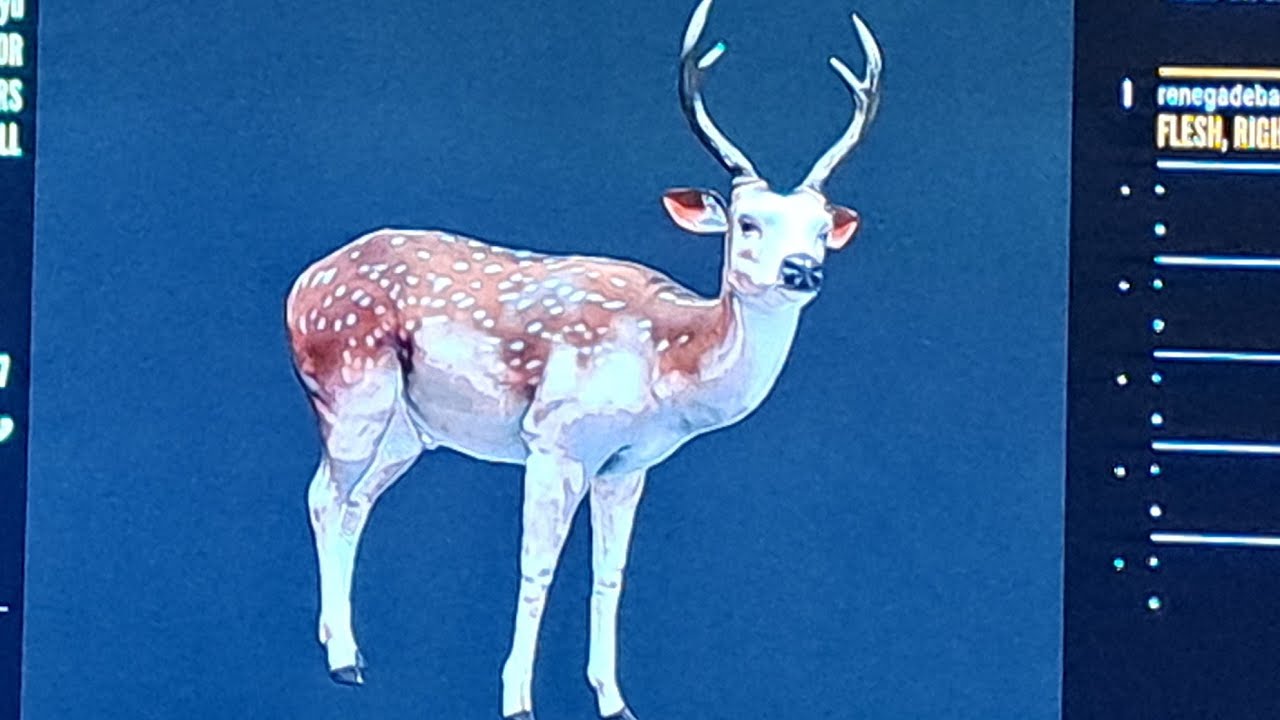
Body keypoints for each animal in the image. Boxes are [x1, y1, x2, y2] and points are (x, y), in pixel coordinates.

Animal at [284, 1, 882, 717]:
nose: (802, 269)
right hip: (349, 389)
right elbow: (536, 568)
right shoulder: (554, 441)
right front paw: (518, 700)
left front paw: (614, 699)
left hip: (410, 429)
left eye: (821, 229)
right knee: (323, 494)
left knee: (356, 503)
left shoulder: (631, 464)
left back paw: (337, 639)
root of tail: (301, 285)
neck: (667, 366)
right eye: (747, 223)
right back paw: (342, 659)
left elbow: (611, 574)